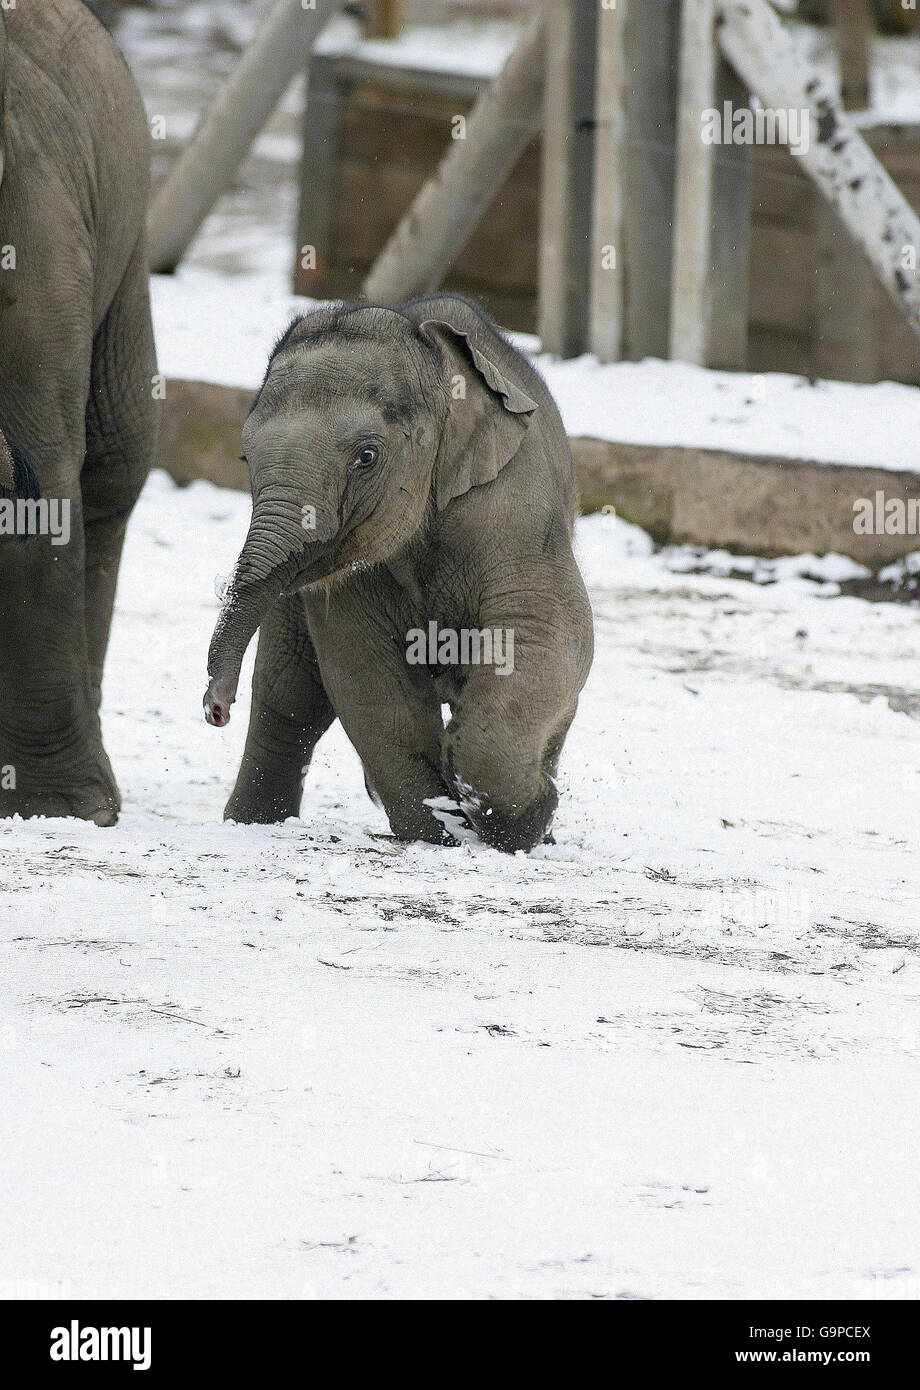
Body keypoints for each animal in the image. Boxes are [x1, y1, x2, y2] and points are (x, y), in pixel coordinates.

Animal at [203, 294, 594, 853]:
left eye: (366, 457)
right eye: (243, 457)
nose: (215, 708)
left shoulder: (517, 509)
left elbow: (546, 635)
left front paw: (527, 817)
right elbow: (365, 671)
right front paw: (438, 834)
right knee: (289, 696)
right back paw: (250, 826)